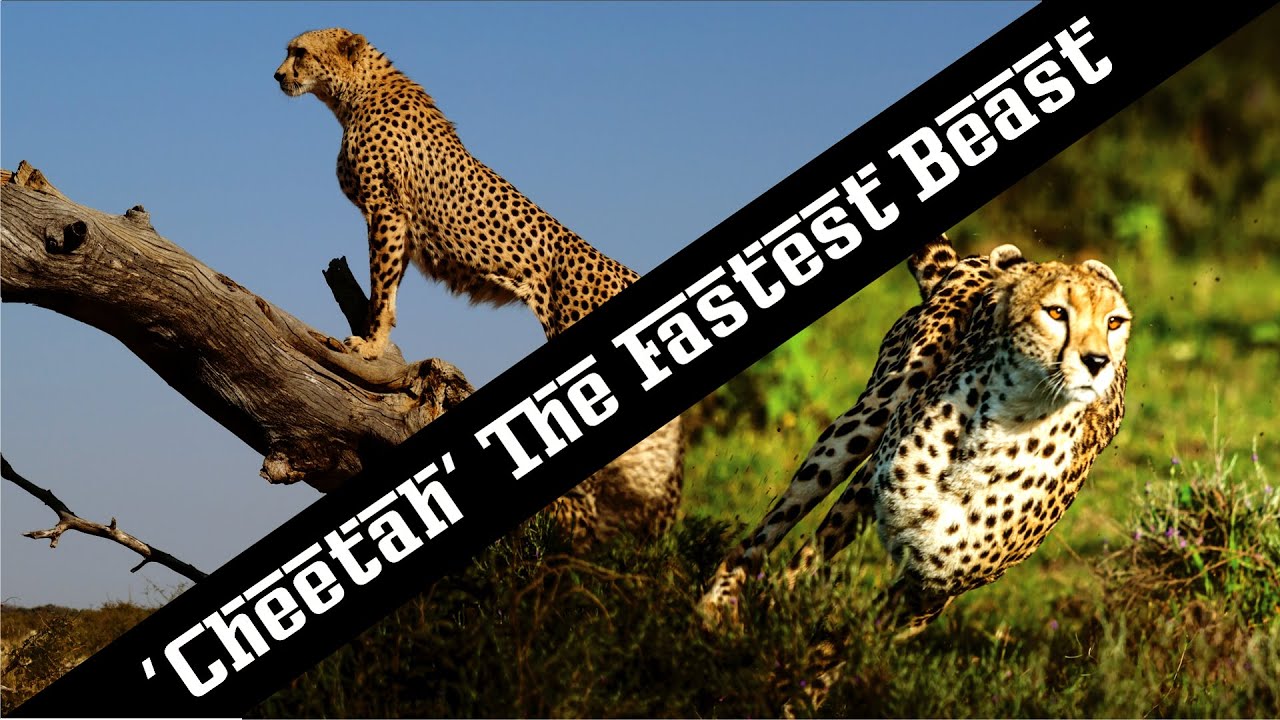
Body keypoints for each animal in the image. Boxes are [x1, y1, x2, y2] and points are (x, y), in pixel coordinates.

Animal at [274, 28, 683, 548]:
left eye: (300, 52)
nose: (277, 75)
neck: (355, 94)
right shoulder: (399, 224)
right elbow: (389, 286)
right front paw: (374, 337)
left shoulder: (386, 211)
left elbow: (382, 286)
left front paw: (369, 344)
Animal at [698, 235, 1129, 713]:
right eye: (1055, 312)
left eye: (1114, 322)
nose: (1097, 361)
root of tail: (972, 260)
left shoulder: (931, 590)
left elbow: (847, 642)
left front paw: (798, 694)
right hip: (872, 413)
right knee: (781, 534)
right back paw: (720, 606)